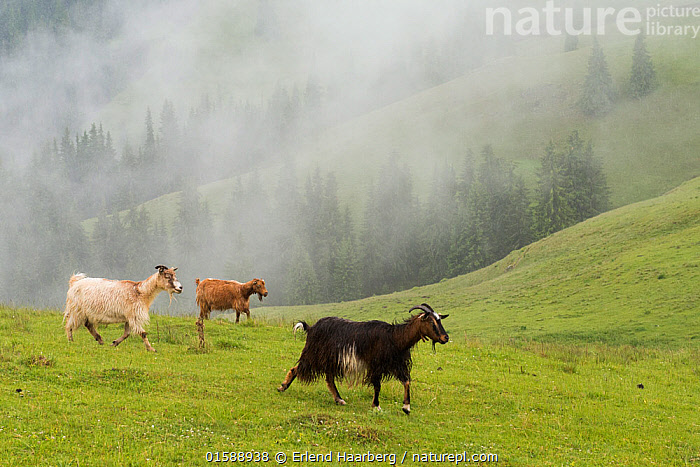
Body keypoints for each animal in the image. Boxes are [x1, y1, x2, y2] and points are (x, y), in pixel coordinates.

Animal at [277, 303, 449, 414]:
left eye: (440, 320)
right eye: (431, 321)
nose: (445, 338)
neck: (395, 337)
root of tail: (311, 328)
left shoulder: (396, 364)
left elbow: (406, 381)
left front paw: (406, 407)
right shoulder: (376, 365)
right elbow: (377, 386)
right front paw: (376, 406)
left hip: (331, 359)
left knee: (329, 379)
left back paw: (339, 399)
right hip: (315, 354)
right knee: (296, 368)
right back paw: (282, 387)